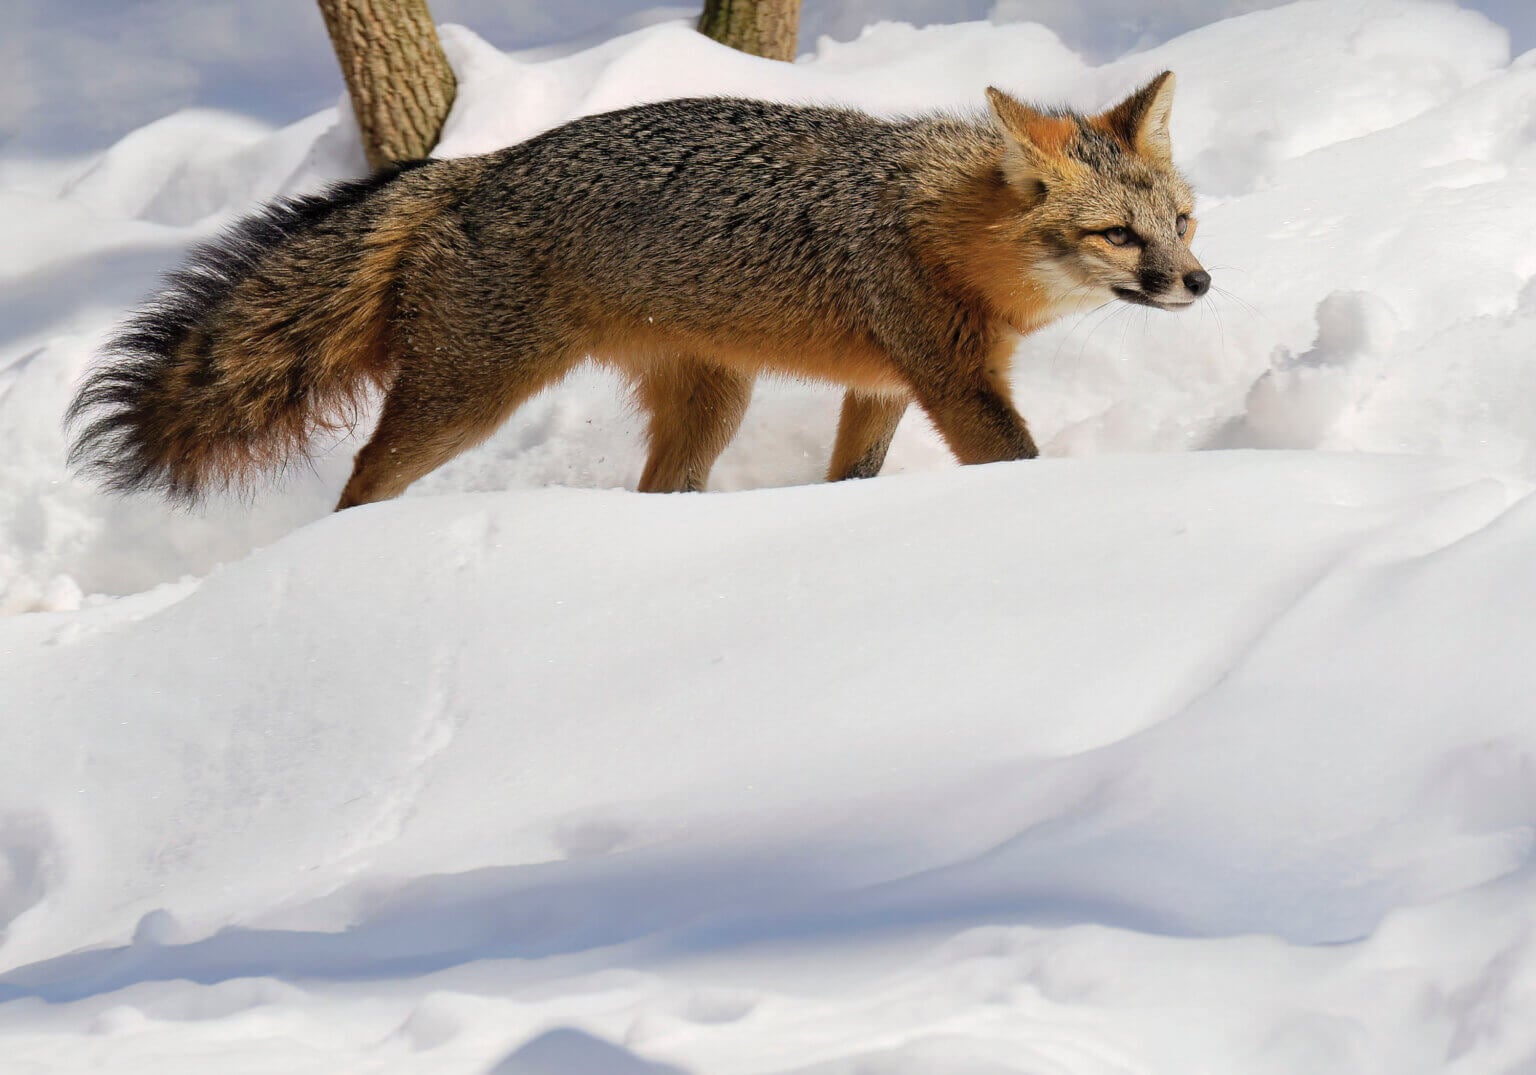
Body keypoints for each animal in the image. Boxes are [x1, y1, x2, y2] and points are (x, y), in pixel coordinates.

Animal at [67, 72, 1208, 510]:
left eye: (1182, 221)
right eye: (1117, 234)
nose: (1199, 281)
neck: (935, 218)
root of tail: (476, 165)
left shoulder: (888, 386)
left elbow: (851, 480)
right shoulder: (957, 384)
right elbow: (1016, 461)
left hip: (711, 406)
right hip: (464, 402)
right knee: (361, 479)